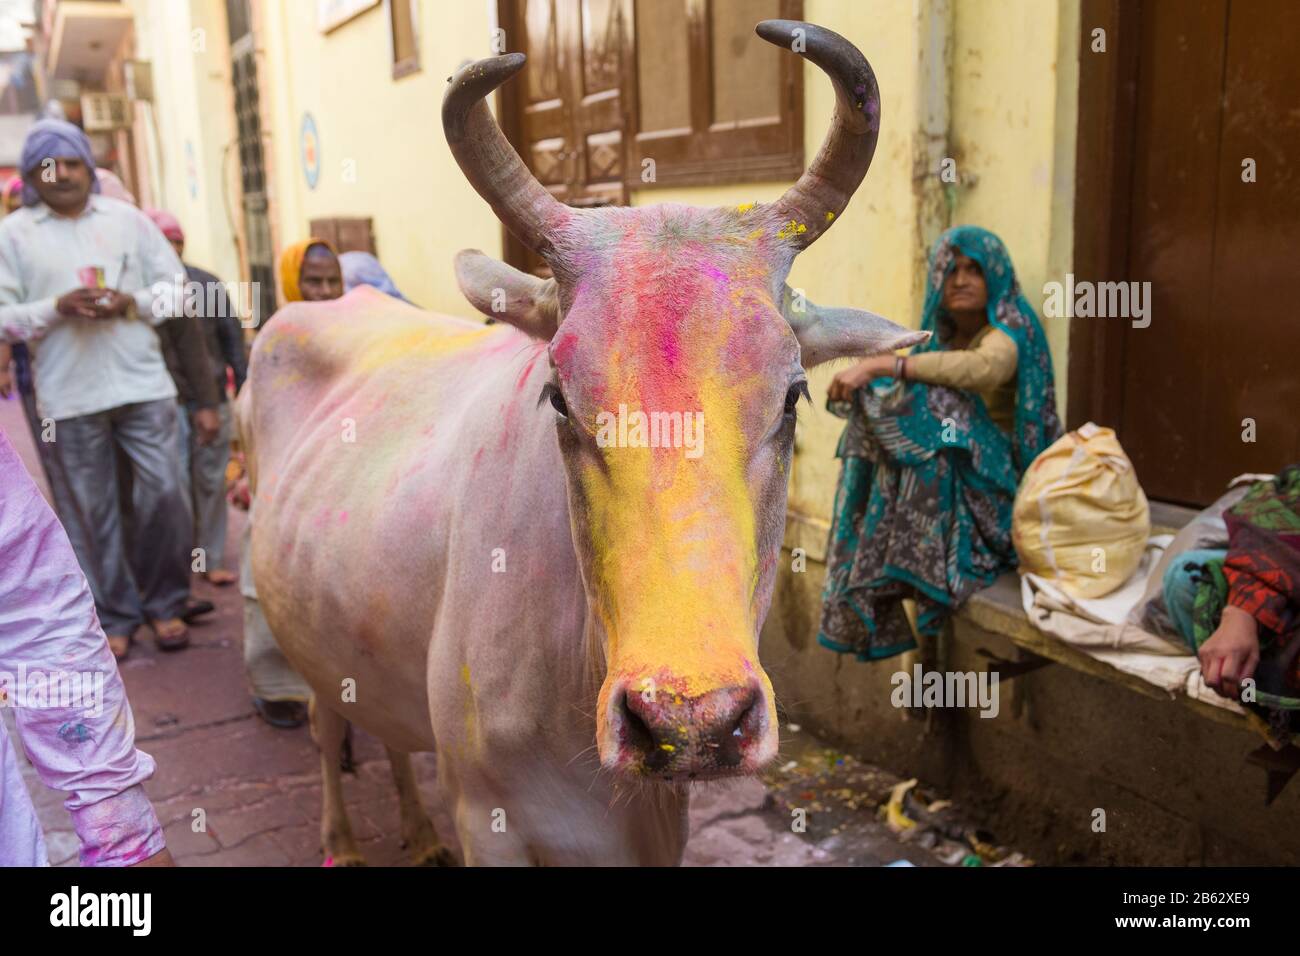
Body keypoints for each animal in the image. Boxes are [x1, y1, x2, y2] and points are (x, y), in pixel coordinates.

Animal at [241, 19, 927, 866]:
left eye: (794, 396)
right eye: (560, 399)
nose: (690, 724)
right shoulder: (486, 815)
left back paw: (417, 831)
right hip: (303, 643)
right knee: (325, 721)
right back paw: (343, 838)